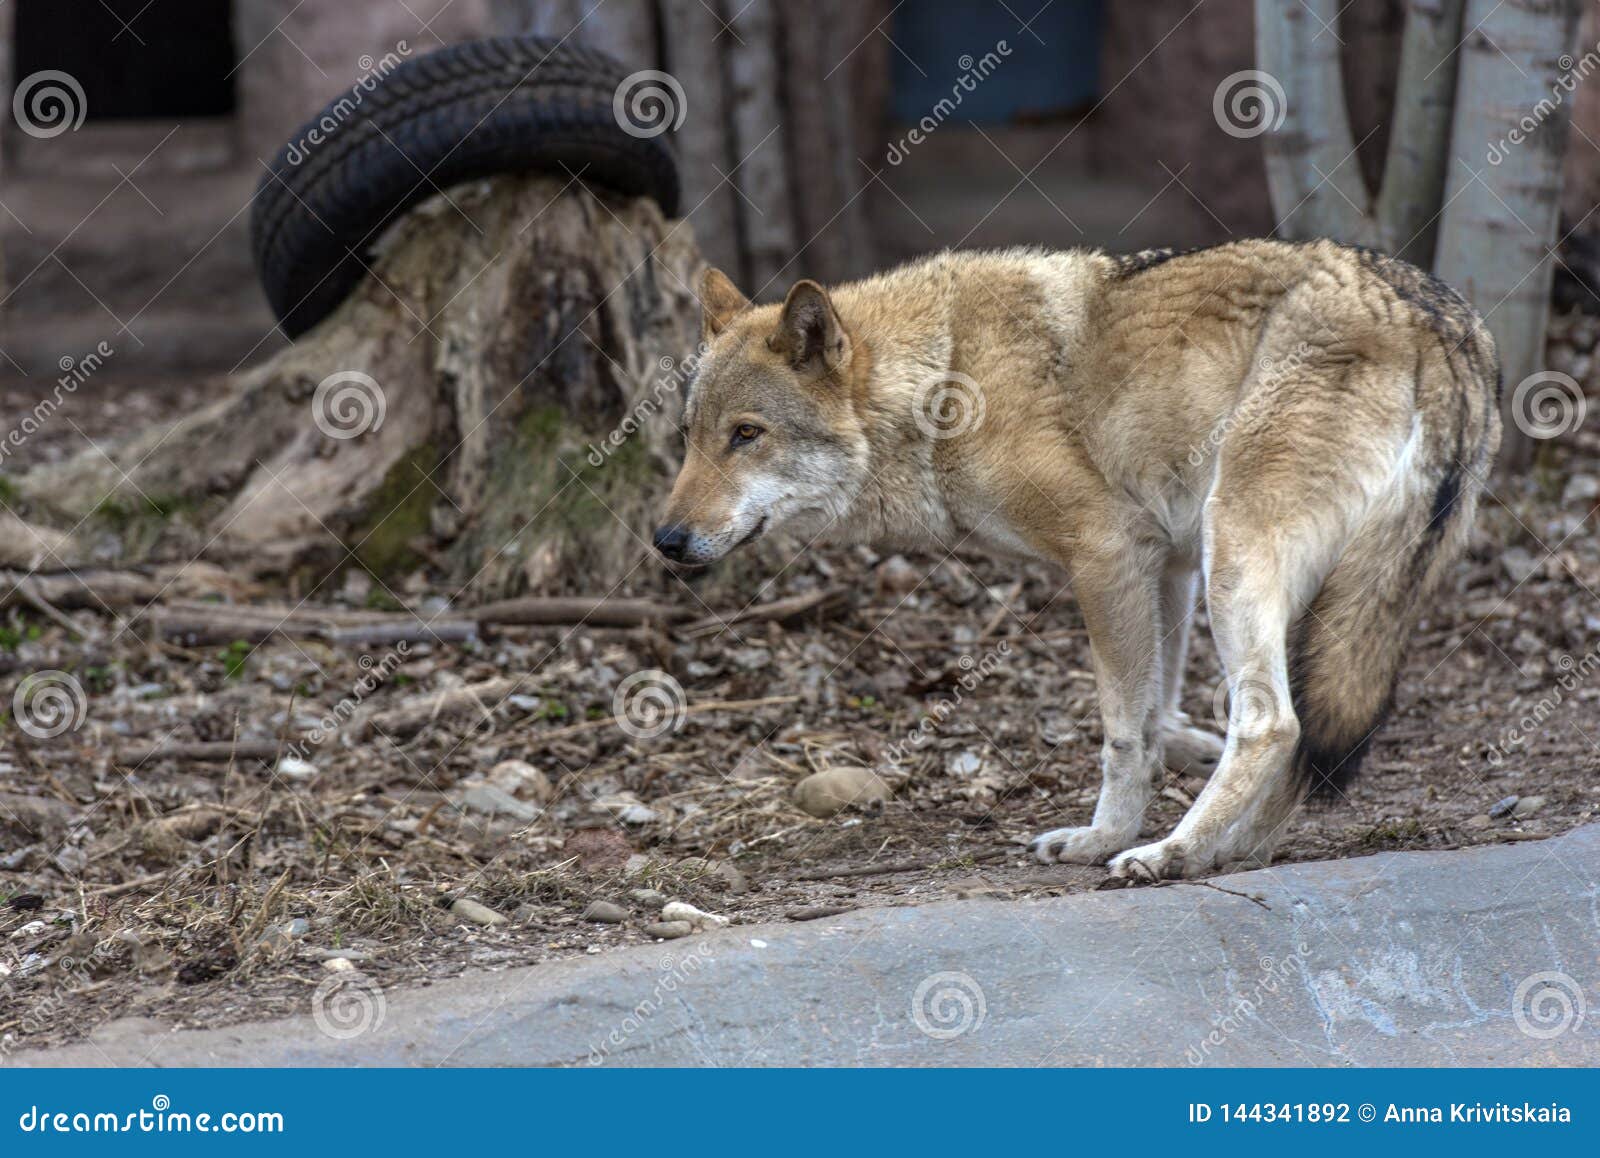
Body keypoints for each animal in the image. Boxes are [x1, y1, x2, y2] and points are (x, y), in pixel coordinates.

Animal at [654, 240, 1500, 879]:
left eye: (747, 435)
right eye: (690, 438)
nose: (665, 541)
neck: (945, 375)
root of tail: (1440, 318)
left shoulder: (1107, 553)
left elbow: (1124, 735)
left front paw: (1106, 838)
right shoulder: (1165, 565)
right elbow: (1158, 715)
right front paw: (1158, 781)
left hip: (1236, 559)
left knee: (1272, 724)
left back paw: (1172, 853)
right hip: (1288, 586)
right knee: (1303, 731)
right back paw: (1235, 852)